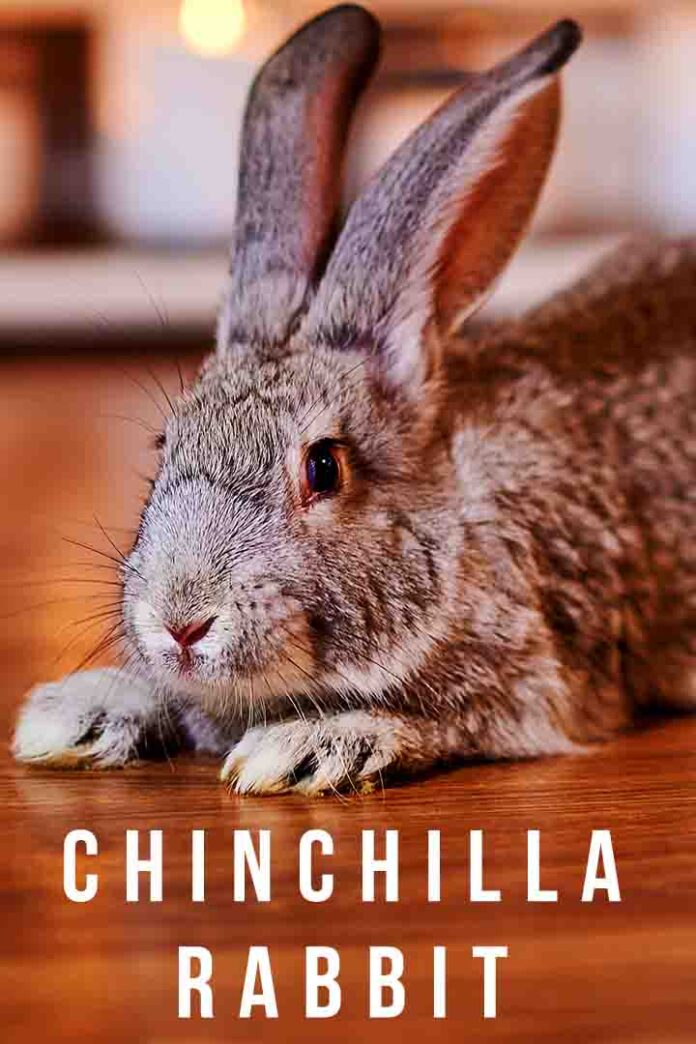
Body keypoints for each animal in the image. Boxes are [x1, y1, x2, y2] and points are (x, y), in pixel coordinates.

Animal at [13, 4, 695, 796]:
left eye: (324, 468)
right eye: (163, 449)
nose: (180, 623)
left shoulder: (540, 681)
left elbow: (455, 719)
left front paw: (309, 746)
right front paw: (72, 714)